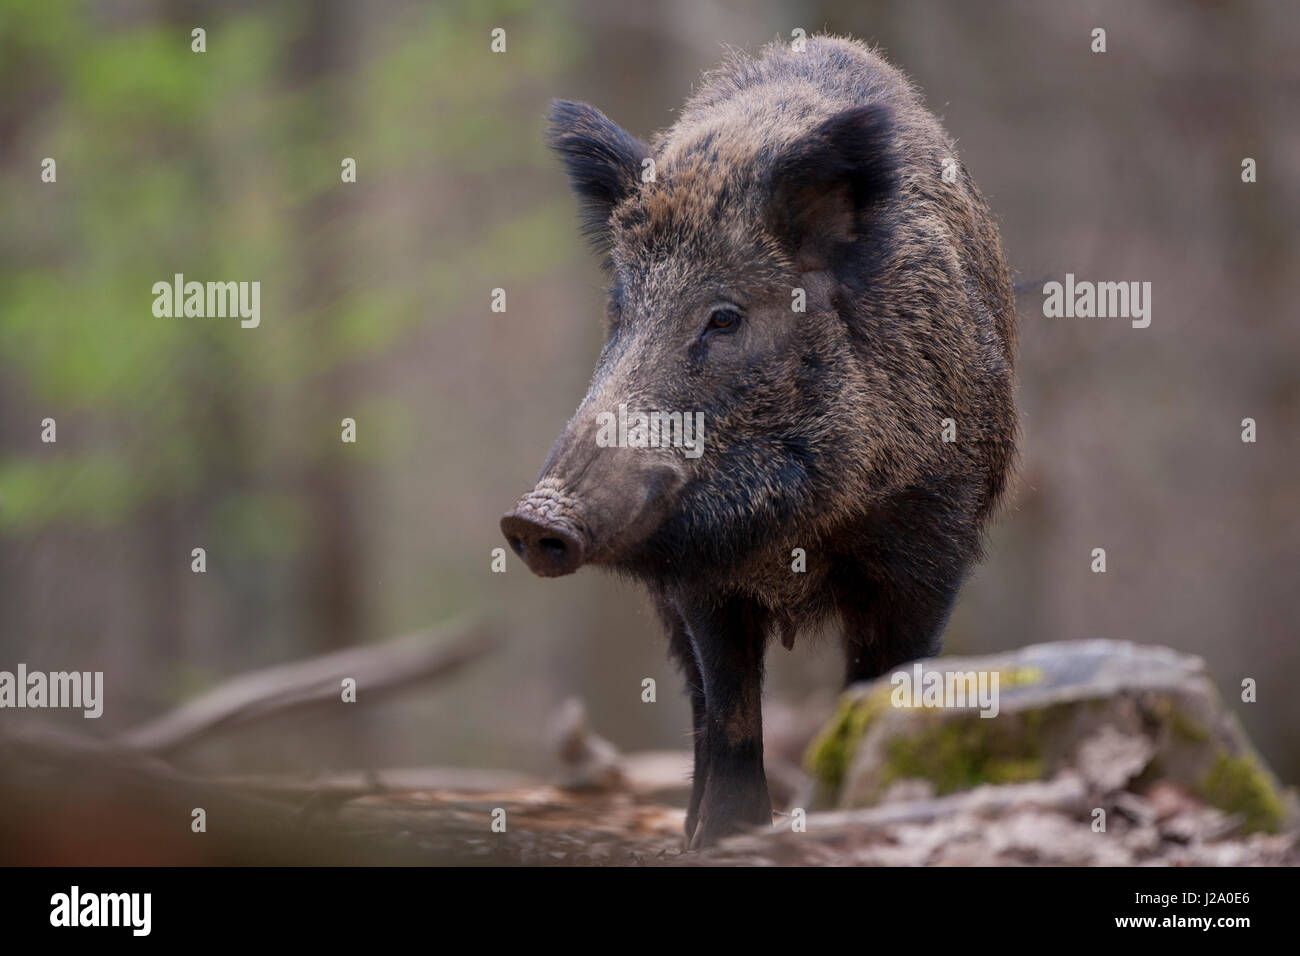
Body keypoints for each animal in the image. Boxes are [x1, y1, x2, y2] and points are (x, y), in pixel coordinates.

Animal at [501, 35, 1017, 848]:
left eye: (724, 317)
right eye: (620, 311)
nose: (532, 518)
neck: (797, 529)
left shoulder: (931, 538)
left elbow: (880, 688)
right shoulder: (694, 572)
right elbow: (731, 704)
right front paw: (723, 840)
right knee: (698, 702)